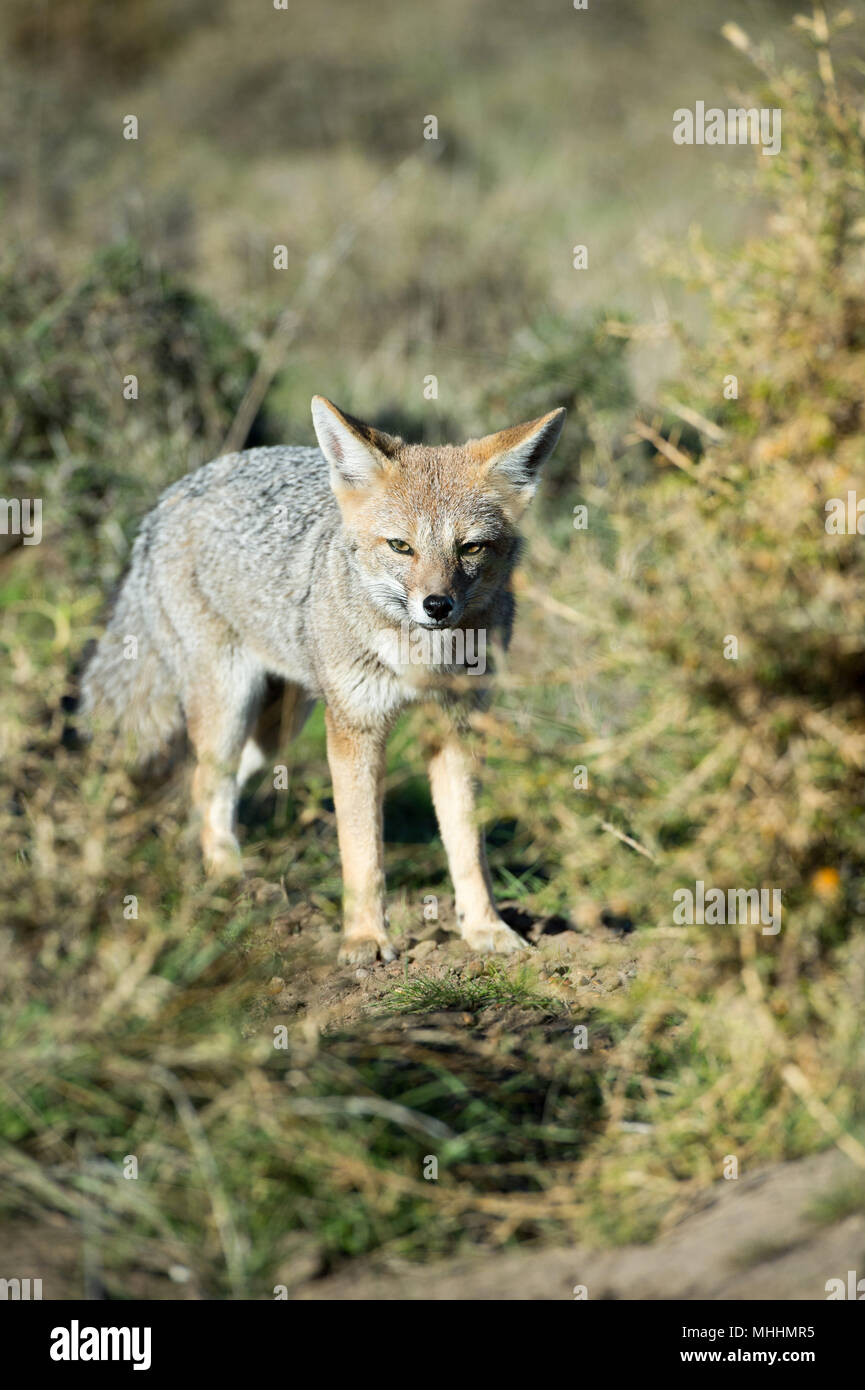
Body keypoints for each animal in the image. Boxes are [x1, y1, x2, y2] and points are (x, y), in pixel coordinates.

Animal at [81, 397, 566, 965]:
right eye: (400, 546)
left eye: (469, 548)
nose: (436, 605)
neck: (421, 657)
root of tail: (175, 492)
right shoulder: (355, 729)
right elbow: (362, 850)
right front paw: (365, 939)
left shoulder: (458, 728)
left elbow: (468, 845)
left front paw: (485, 928)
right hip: (231, 708)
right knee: (206, 783)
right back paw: (228, 885)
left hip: (276, 729)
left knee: (204, 787)